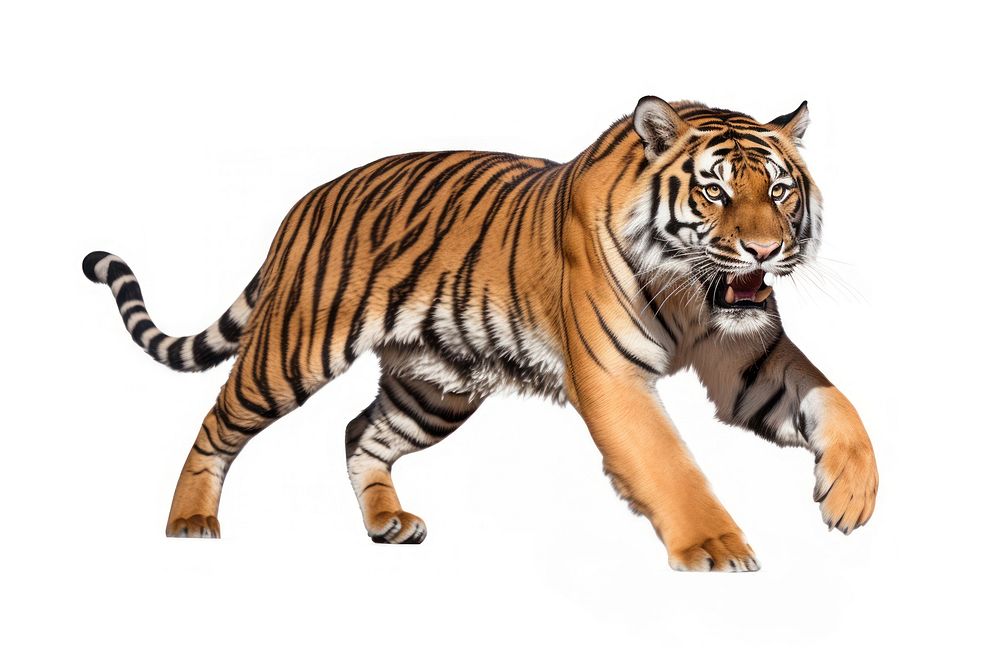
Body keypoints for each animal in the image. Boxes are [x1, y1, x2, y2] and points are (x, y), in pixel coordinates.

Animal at [82, 96, 878, 572]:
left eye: (779, 189)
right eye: (714, 191)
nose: (765, 251)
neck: (694, 296)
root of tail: (305, 201)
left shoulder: (747, 356)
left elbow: (835, 403)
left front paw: (851, 495)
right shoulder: (612, 377)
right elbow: (669, 465)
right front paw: (714, 549)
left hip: (436, 387)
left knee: (361, 432)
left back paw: (388, 524)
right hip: (293, 349)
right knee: (216, 423)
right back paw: (188, 523)